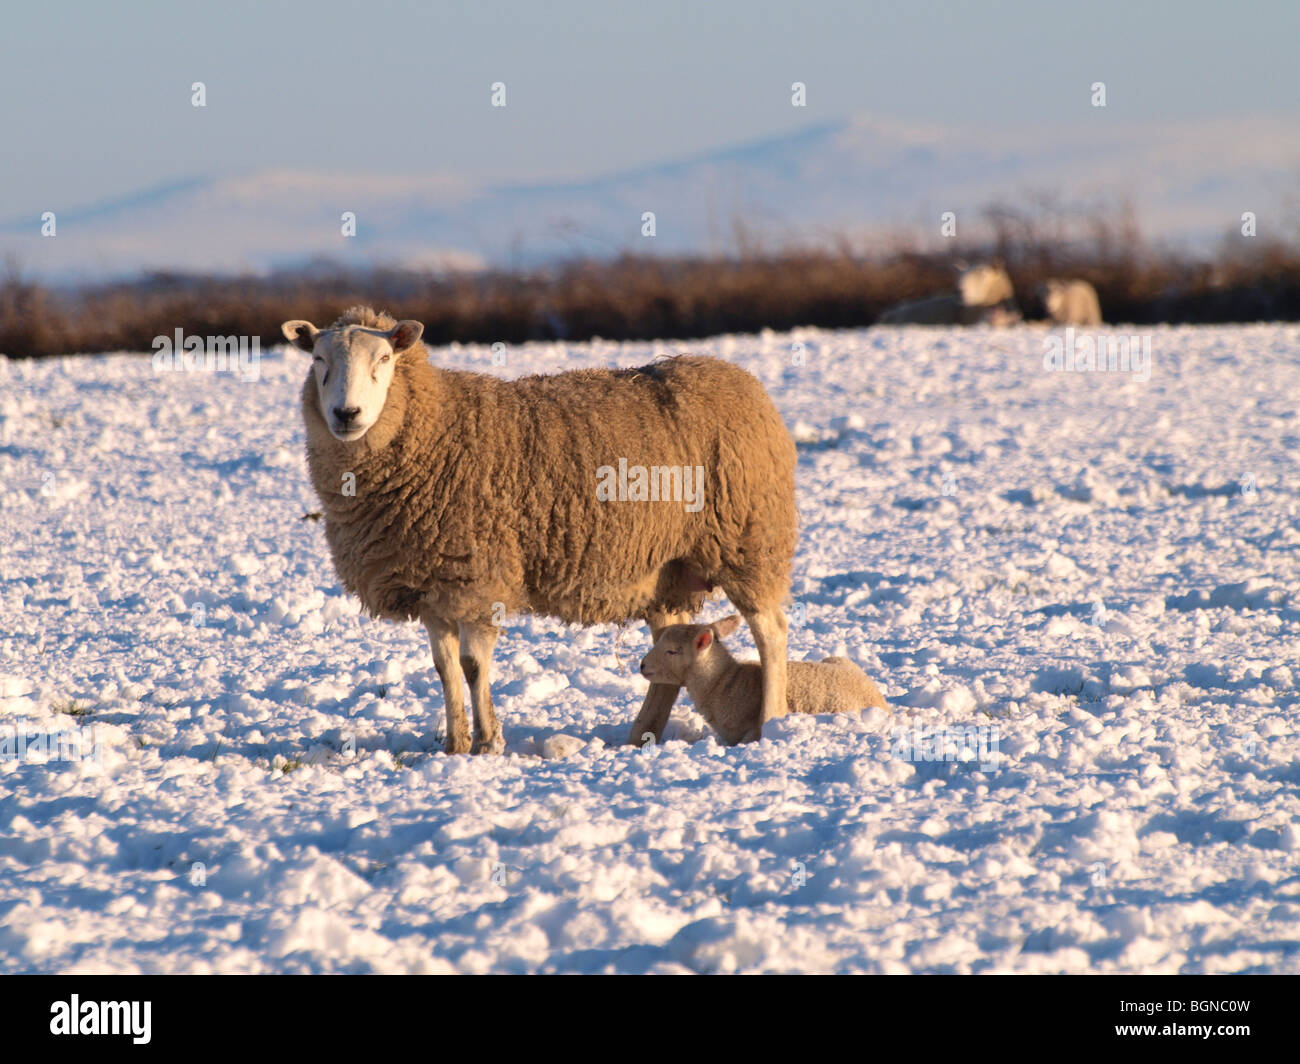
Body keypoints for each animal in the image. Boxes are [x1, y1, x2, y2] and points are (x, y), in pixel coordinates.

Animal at [281, 306, 797, 755]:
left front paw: (488, 743)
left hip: (749, 539)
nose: (346, 414)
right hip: (667, 566)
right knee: (671, 638)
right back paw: (641, 734)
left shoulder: (478, 577)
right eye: (319, 360)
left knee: (770, 631)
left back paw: (771, 721)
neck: (433, 430)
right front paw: (455, 745)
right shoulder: (432, 585)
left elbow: (472, 666)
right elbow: (444, 669)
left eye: (384, 360)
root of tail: (737, 377)